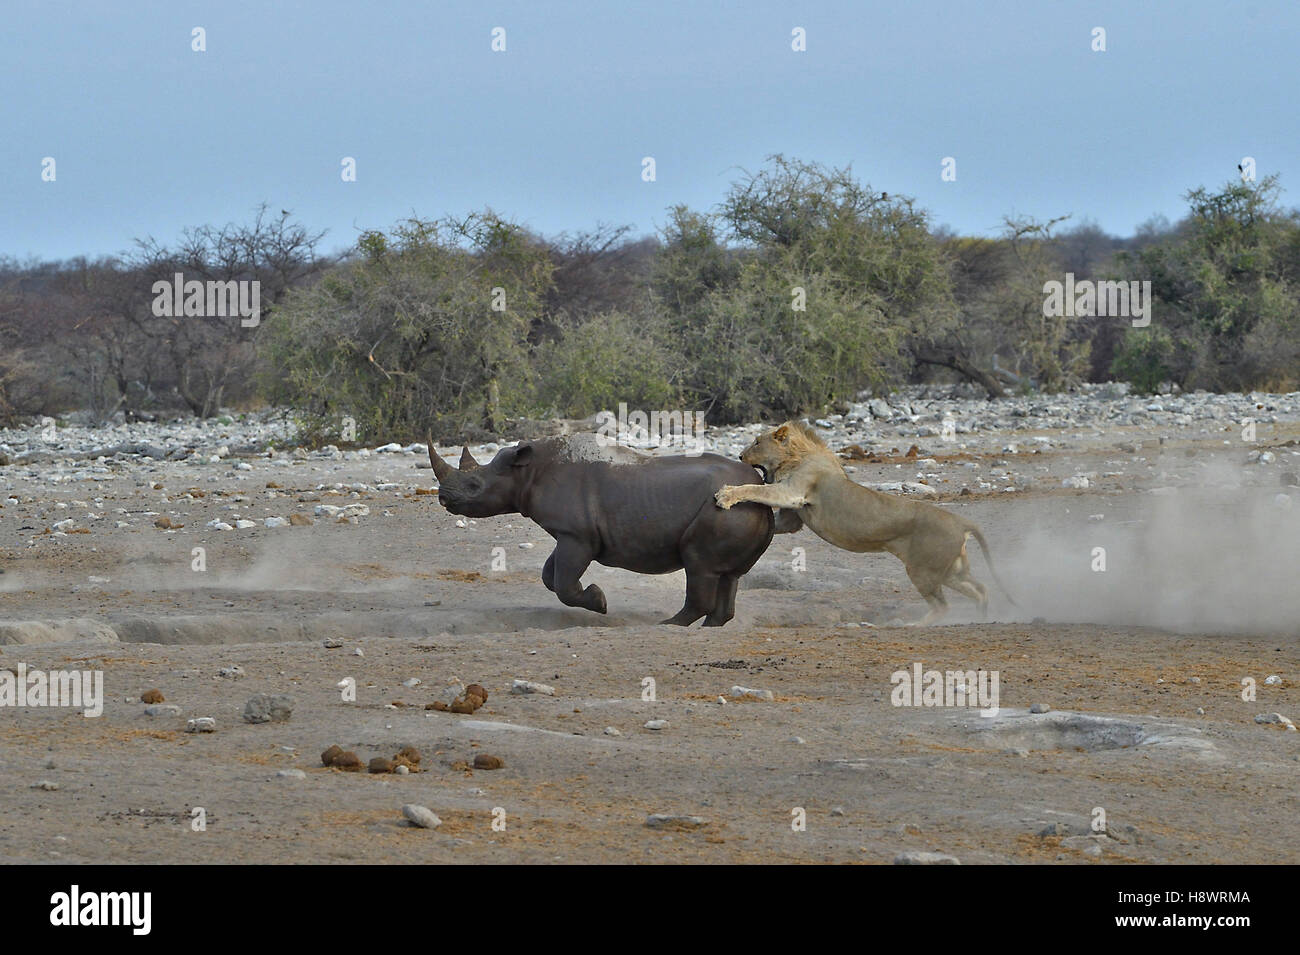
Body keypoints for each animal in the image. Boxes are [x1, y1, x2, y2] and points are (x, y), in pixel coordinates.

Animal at [428, 434, 784, 626]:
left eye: (474, 485)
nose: (443, 498)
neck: (525, 473)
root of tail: (761, 492)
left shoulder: (578, 535)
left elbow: (563, 583)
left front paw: (599, 602)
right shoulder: (571, 533)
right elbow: (549, 574)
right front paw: (596, 598)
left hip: (722, 511)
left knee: (699, 565)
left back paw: (666, 625)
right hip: (739, 510)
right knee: (729, 575)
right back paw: (706, 626)